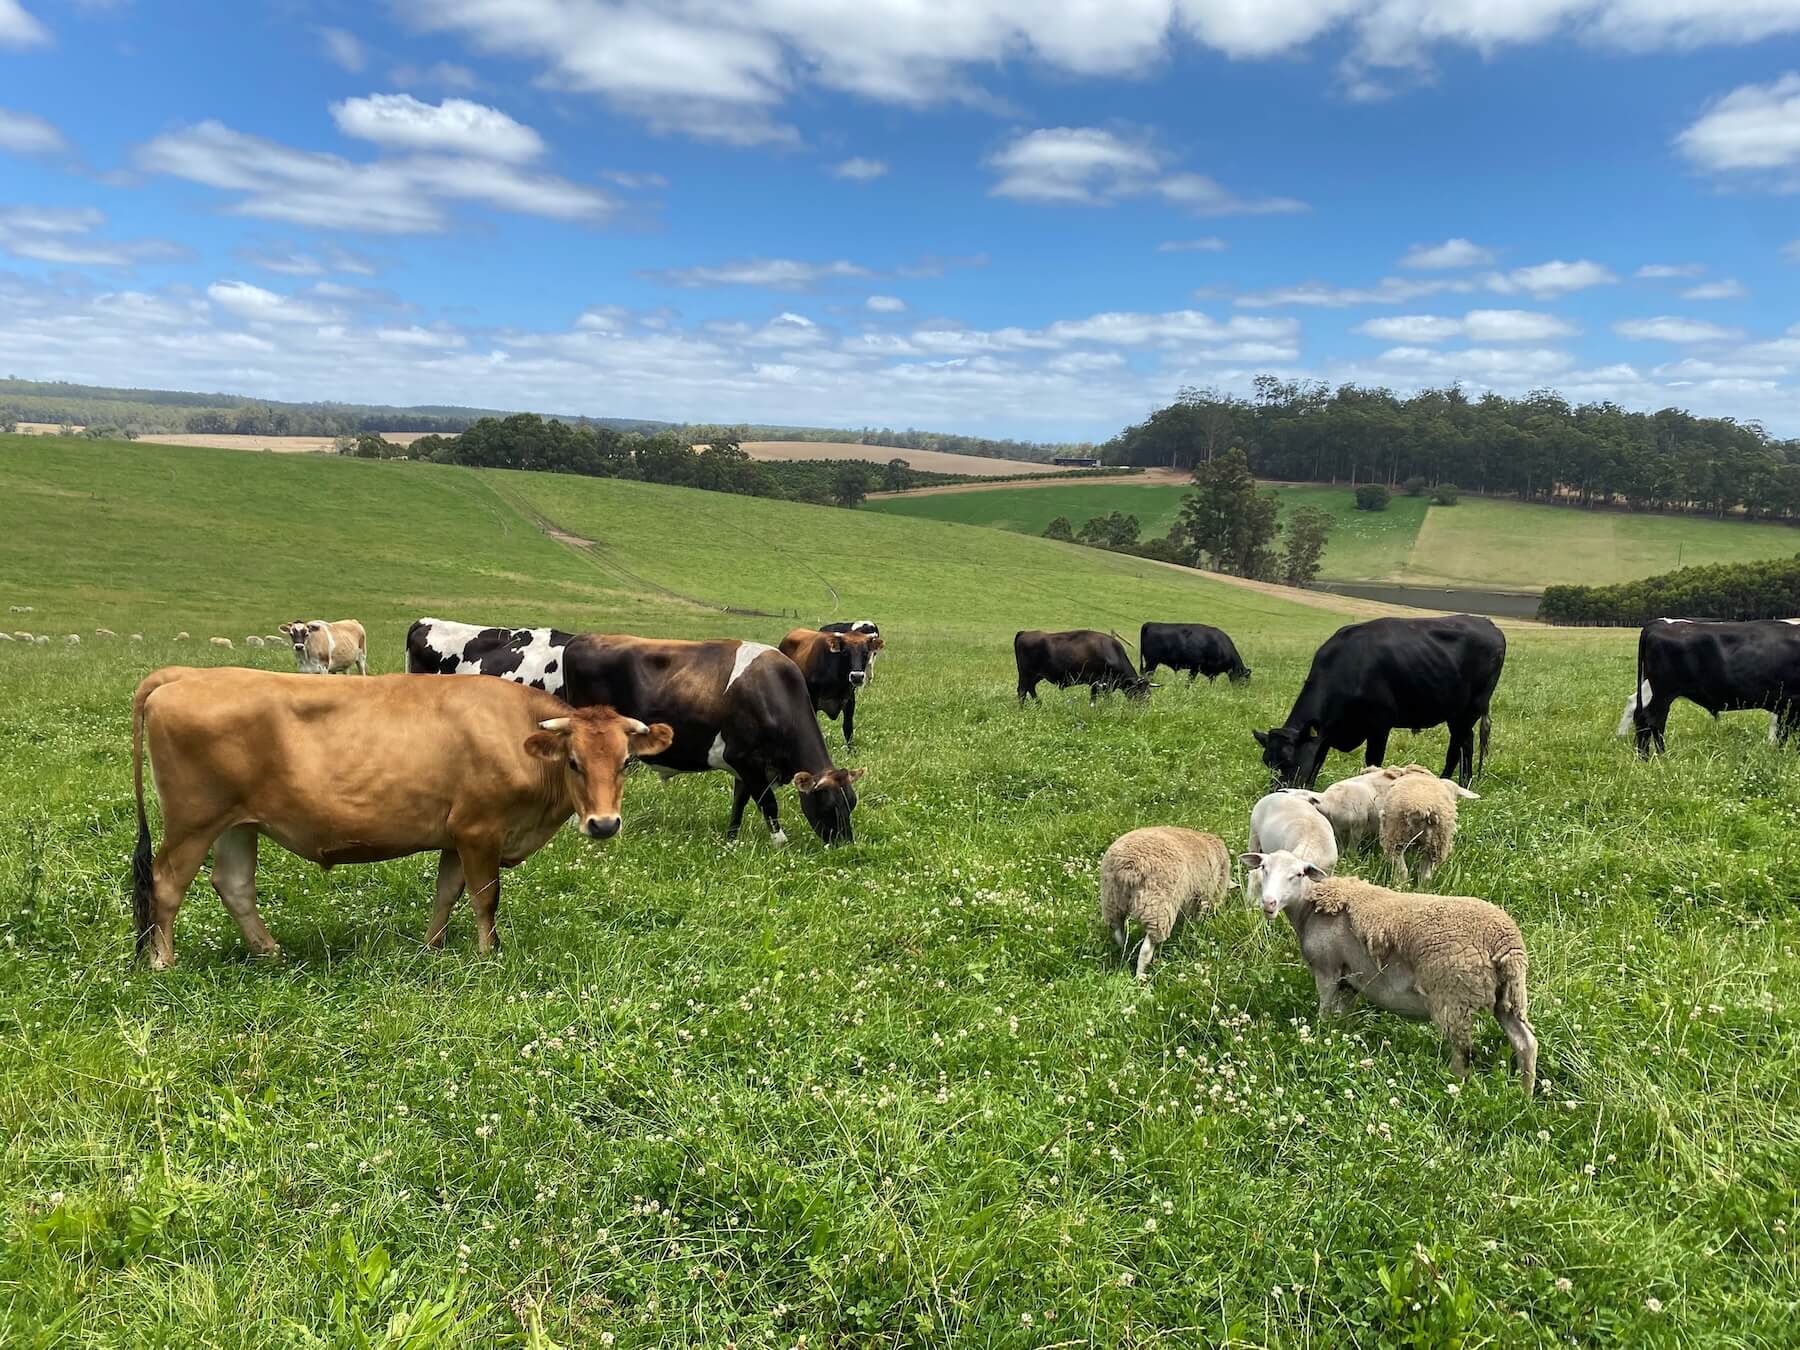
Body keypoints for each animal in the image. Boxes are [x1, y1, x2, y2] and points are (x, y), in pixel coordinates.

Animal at [130, 666, 672, 968]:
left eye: (626, 762)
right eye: (574, 761)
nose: (604, 824)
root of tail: (186, 674)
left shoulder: (456, 835)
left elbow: (447, 893)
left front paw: (432, 948)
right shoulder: (481, 830)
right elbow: (485, 897)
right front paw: (488, 954)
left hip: (238, 823)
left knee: (234, 884)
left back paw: (270, 953)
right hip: (193, 821)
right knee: (167, 882)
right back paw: (163, 963)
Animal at [408, 618, 864, 845]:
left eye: (852, 803)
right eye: (828, 805)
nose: (844, 844)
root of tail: (579, 639)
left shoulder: (745, 764)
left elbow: (740, 802)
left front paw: (732, 839)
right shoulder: (748, 761)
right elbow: (767, 804)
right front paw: (779, 842)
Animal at [1015, 629, 1151, 703]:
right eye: (1142, 693)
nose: (1144, 709)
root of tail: (1024, 633)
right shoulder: (1099, 683)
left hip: (1035, 676)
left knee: (1030, 689)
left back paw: (1039, 704)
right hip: (1026, 674)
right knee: (1022, 691)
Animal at [1255, 615, 1506, 789]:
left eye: (1289, 760)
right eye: (1268, 762)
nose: (1277, 791)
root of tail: (1487, 623)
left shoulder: (1380, 725)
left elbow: (1372, 762)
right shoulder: (1326, 731)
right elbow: (1317, 760)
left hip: (1470, 708)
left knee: (1459, 746)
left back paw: (1452, 782)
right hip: (1456, 712)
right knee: (1465, 742)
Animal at [1623, 618, 1800, 755]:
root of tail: (1658, 623)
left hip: (1651, 689)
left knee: (1642, 716)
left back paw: (1645, 757)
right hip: (1662, 692)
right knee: (1652, 720)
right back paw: (1660, 757)